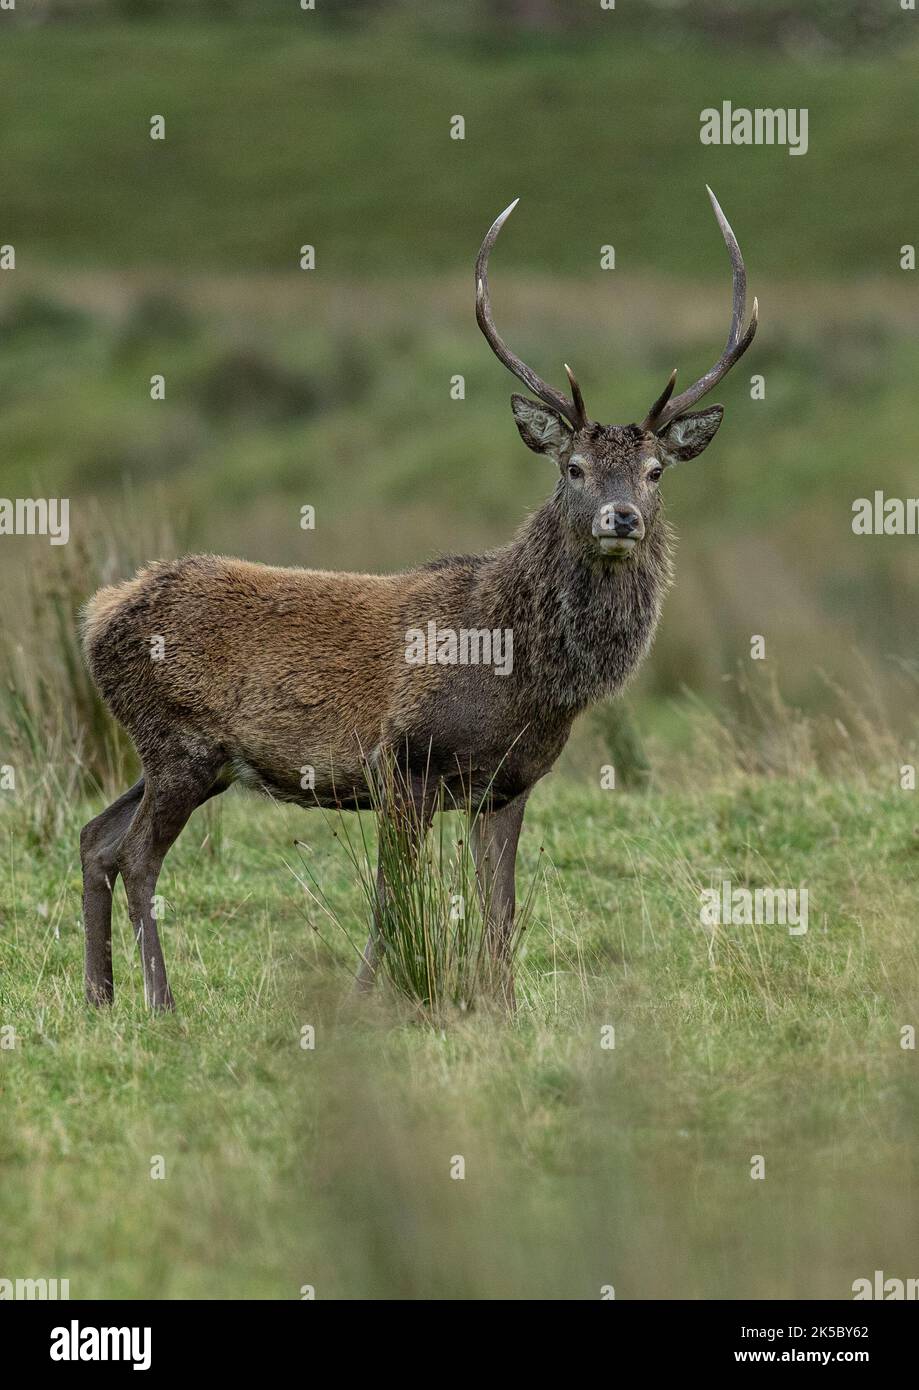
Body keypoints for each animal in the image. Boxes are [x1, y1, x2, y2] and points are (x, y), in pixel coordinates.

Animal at [80, 186, 757, 1012]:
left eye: (656, 470)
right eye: (572, 467)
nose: (620, 517)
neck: (520, 673)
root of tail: (98, 614)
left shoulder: (507, 786)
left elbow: (498, 908)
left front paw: (500, 1006)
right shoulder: (402, 763)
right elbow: (394, 901)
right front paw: (371, 997)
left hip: (180, 755)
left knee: (95, 838)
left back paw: (99, 996)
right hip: (178, 741)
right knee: (138, 855)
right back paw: (161, 1002)